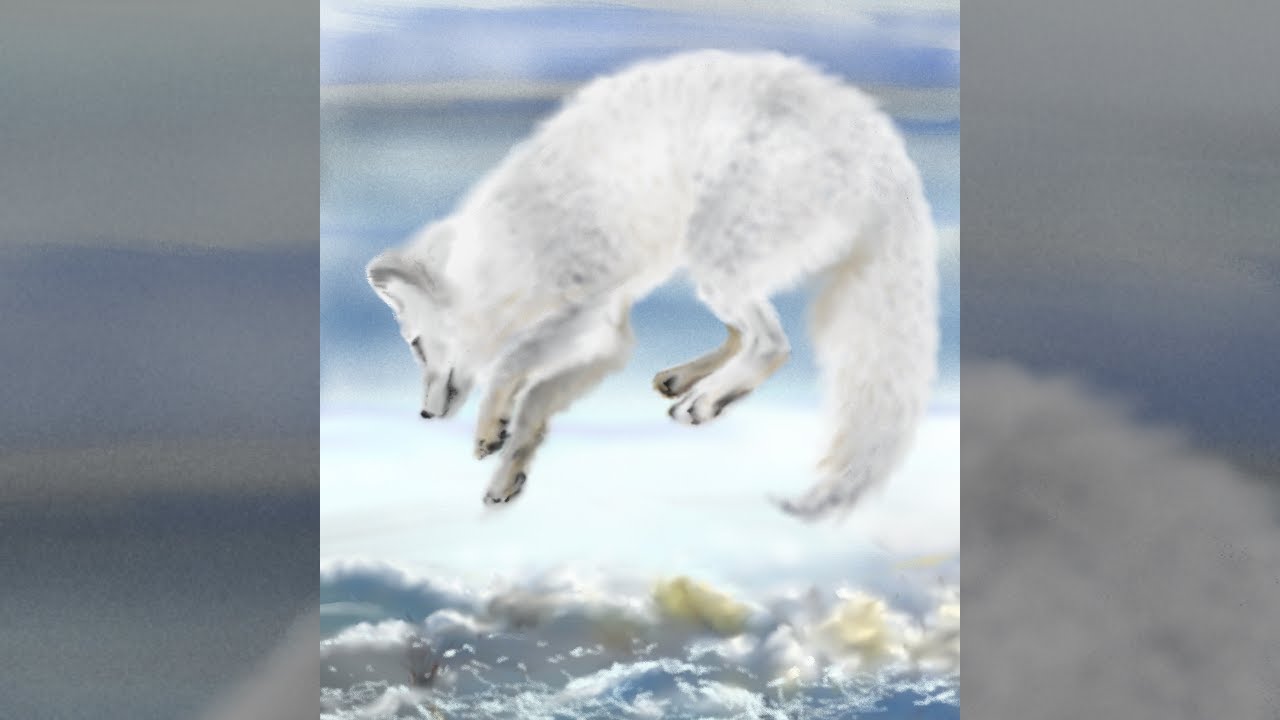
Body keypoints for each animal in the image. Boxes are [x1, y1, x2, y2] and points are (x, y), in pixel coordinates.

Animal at [366, 50, 938, 520]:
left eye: (416, 345)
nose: (424, 414)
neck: (513, 249)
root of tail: (884, 148)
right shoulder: (608, 337)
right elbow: (535, 402)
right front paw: (509, 473)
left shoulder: (585, 311)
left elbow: (512, 366)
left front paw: (491, 429)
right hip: (707, 264)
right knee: (742, 333)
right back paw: (682, 380)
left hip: (717, 256)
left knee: (772, 344)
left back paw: (704, 401)